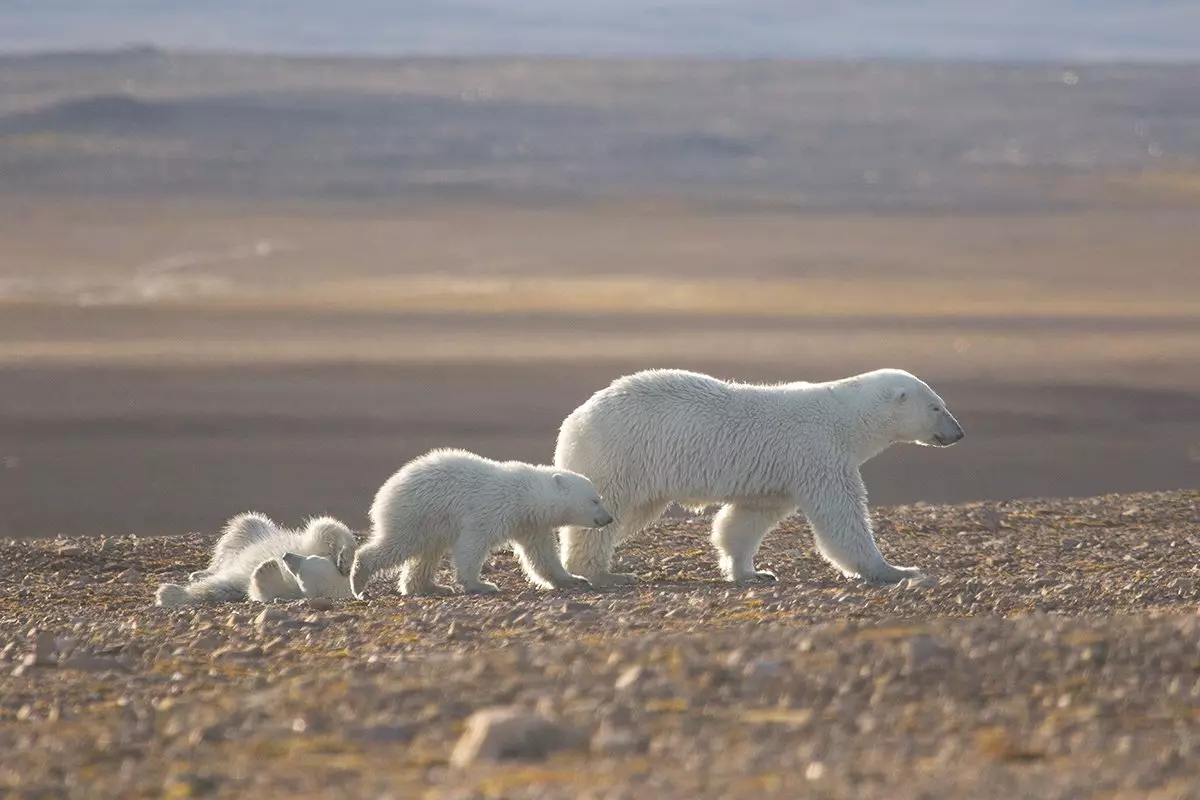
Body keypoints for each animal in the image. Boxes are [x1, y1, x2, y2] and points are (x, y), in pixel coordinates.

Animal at [554, 369, 964, 587]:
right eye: (937, 407)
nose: (958, 433)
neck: (844, 417)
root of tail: (573, 420)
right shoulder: (817, 453)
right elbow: (841, 517)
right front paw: (895, 570)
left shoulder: (775, 477)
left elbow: (745, 520)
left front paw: (753, 572)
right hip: (620, 455)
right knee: (604, 513)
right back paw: (604, 574)